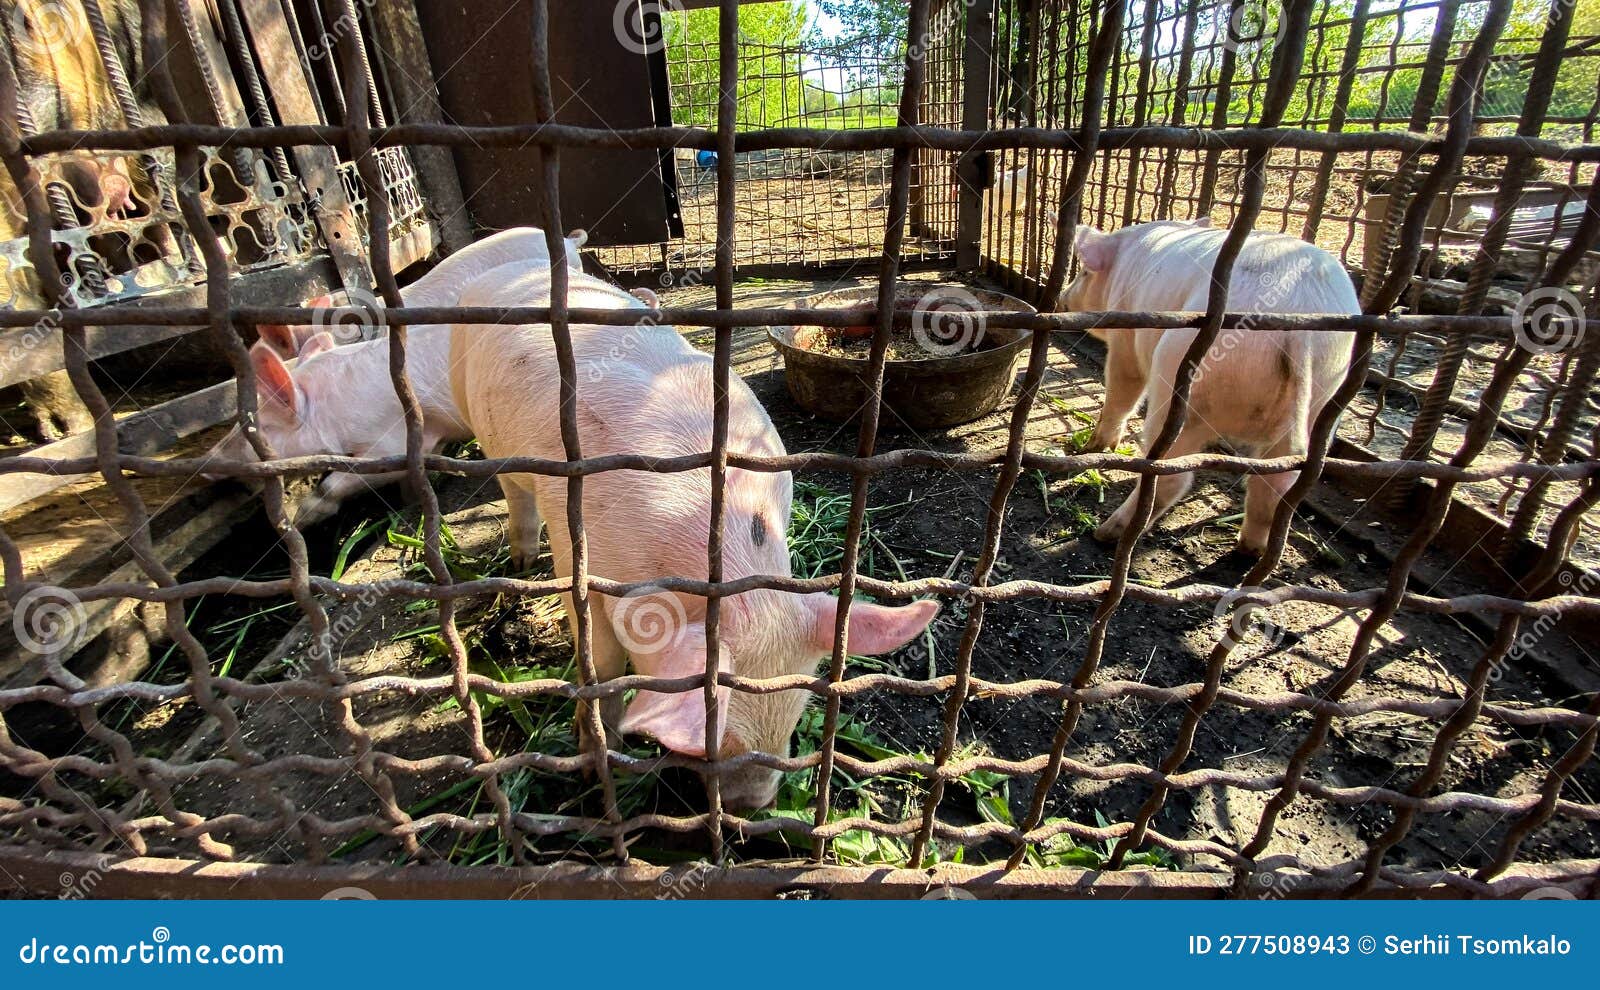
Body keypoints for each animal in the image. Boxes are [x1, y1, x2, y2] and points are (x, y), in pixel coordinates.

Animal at [205, 227, 586, 523]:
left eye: (261, 425)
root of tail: (568, 241)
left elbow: (345, 478)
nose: (206, 464)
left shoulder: (390, 440)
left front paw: (302, 516)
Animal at [450, 267, 939, 809]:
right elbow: (601, 663)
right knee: (515, 493)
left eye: (795, 714)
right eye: (715, 736)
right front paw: (596, 762)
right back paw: (519, 563)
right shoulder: (577, 558)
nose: (755, 805)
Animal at [1061, 218, 1357, 553]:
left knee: (1170, 477)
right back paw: (1249, 550)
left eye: (1085, 273)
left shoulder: (1127, 339)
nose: (1062, 300)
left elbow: (1123, 387)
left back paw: (1106, 533)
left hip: (1183, 379)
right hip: (1324, 394)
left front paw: (1093, 447)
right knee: (1275, 486)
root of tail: (1299, 322)